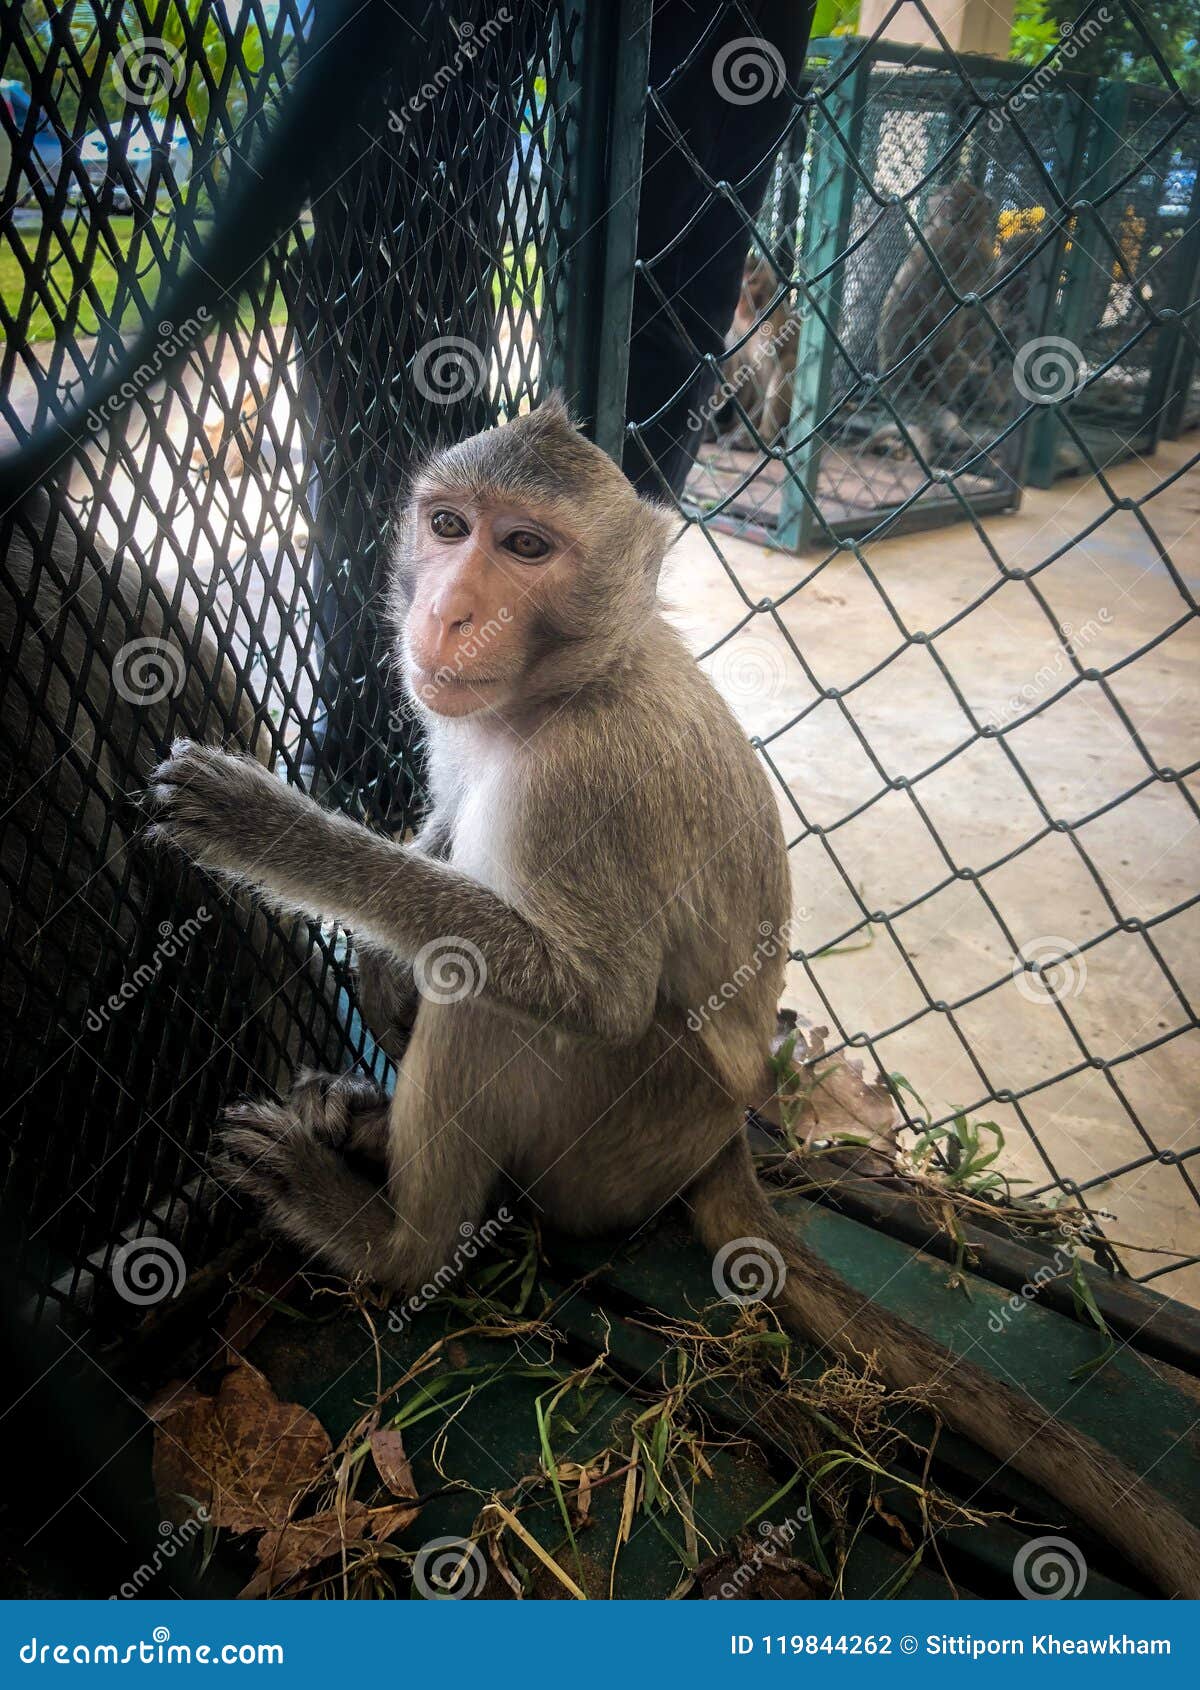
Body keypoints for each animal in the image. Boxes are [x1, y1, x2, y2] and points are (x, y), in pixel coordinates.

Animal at [145, 398, 1200, 1598]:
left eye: (526, 547)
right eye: (450, 525)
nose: (446, 609)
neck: (559, 689)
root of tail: (724, 1139)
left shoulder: (585, 788)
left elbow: (591, 997)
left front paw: (277, 835)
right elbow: (445, 840)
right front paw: (376, 957)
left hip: (620, 1139)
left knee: (495, 1010)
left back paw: (389, 1242)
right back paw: (367, 1126)